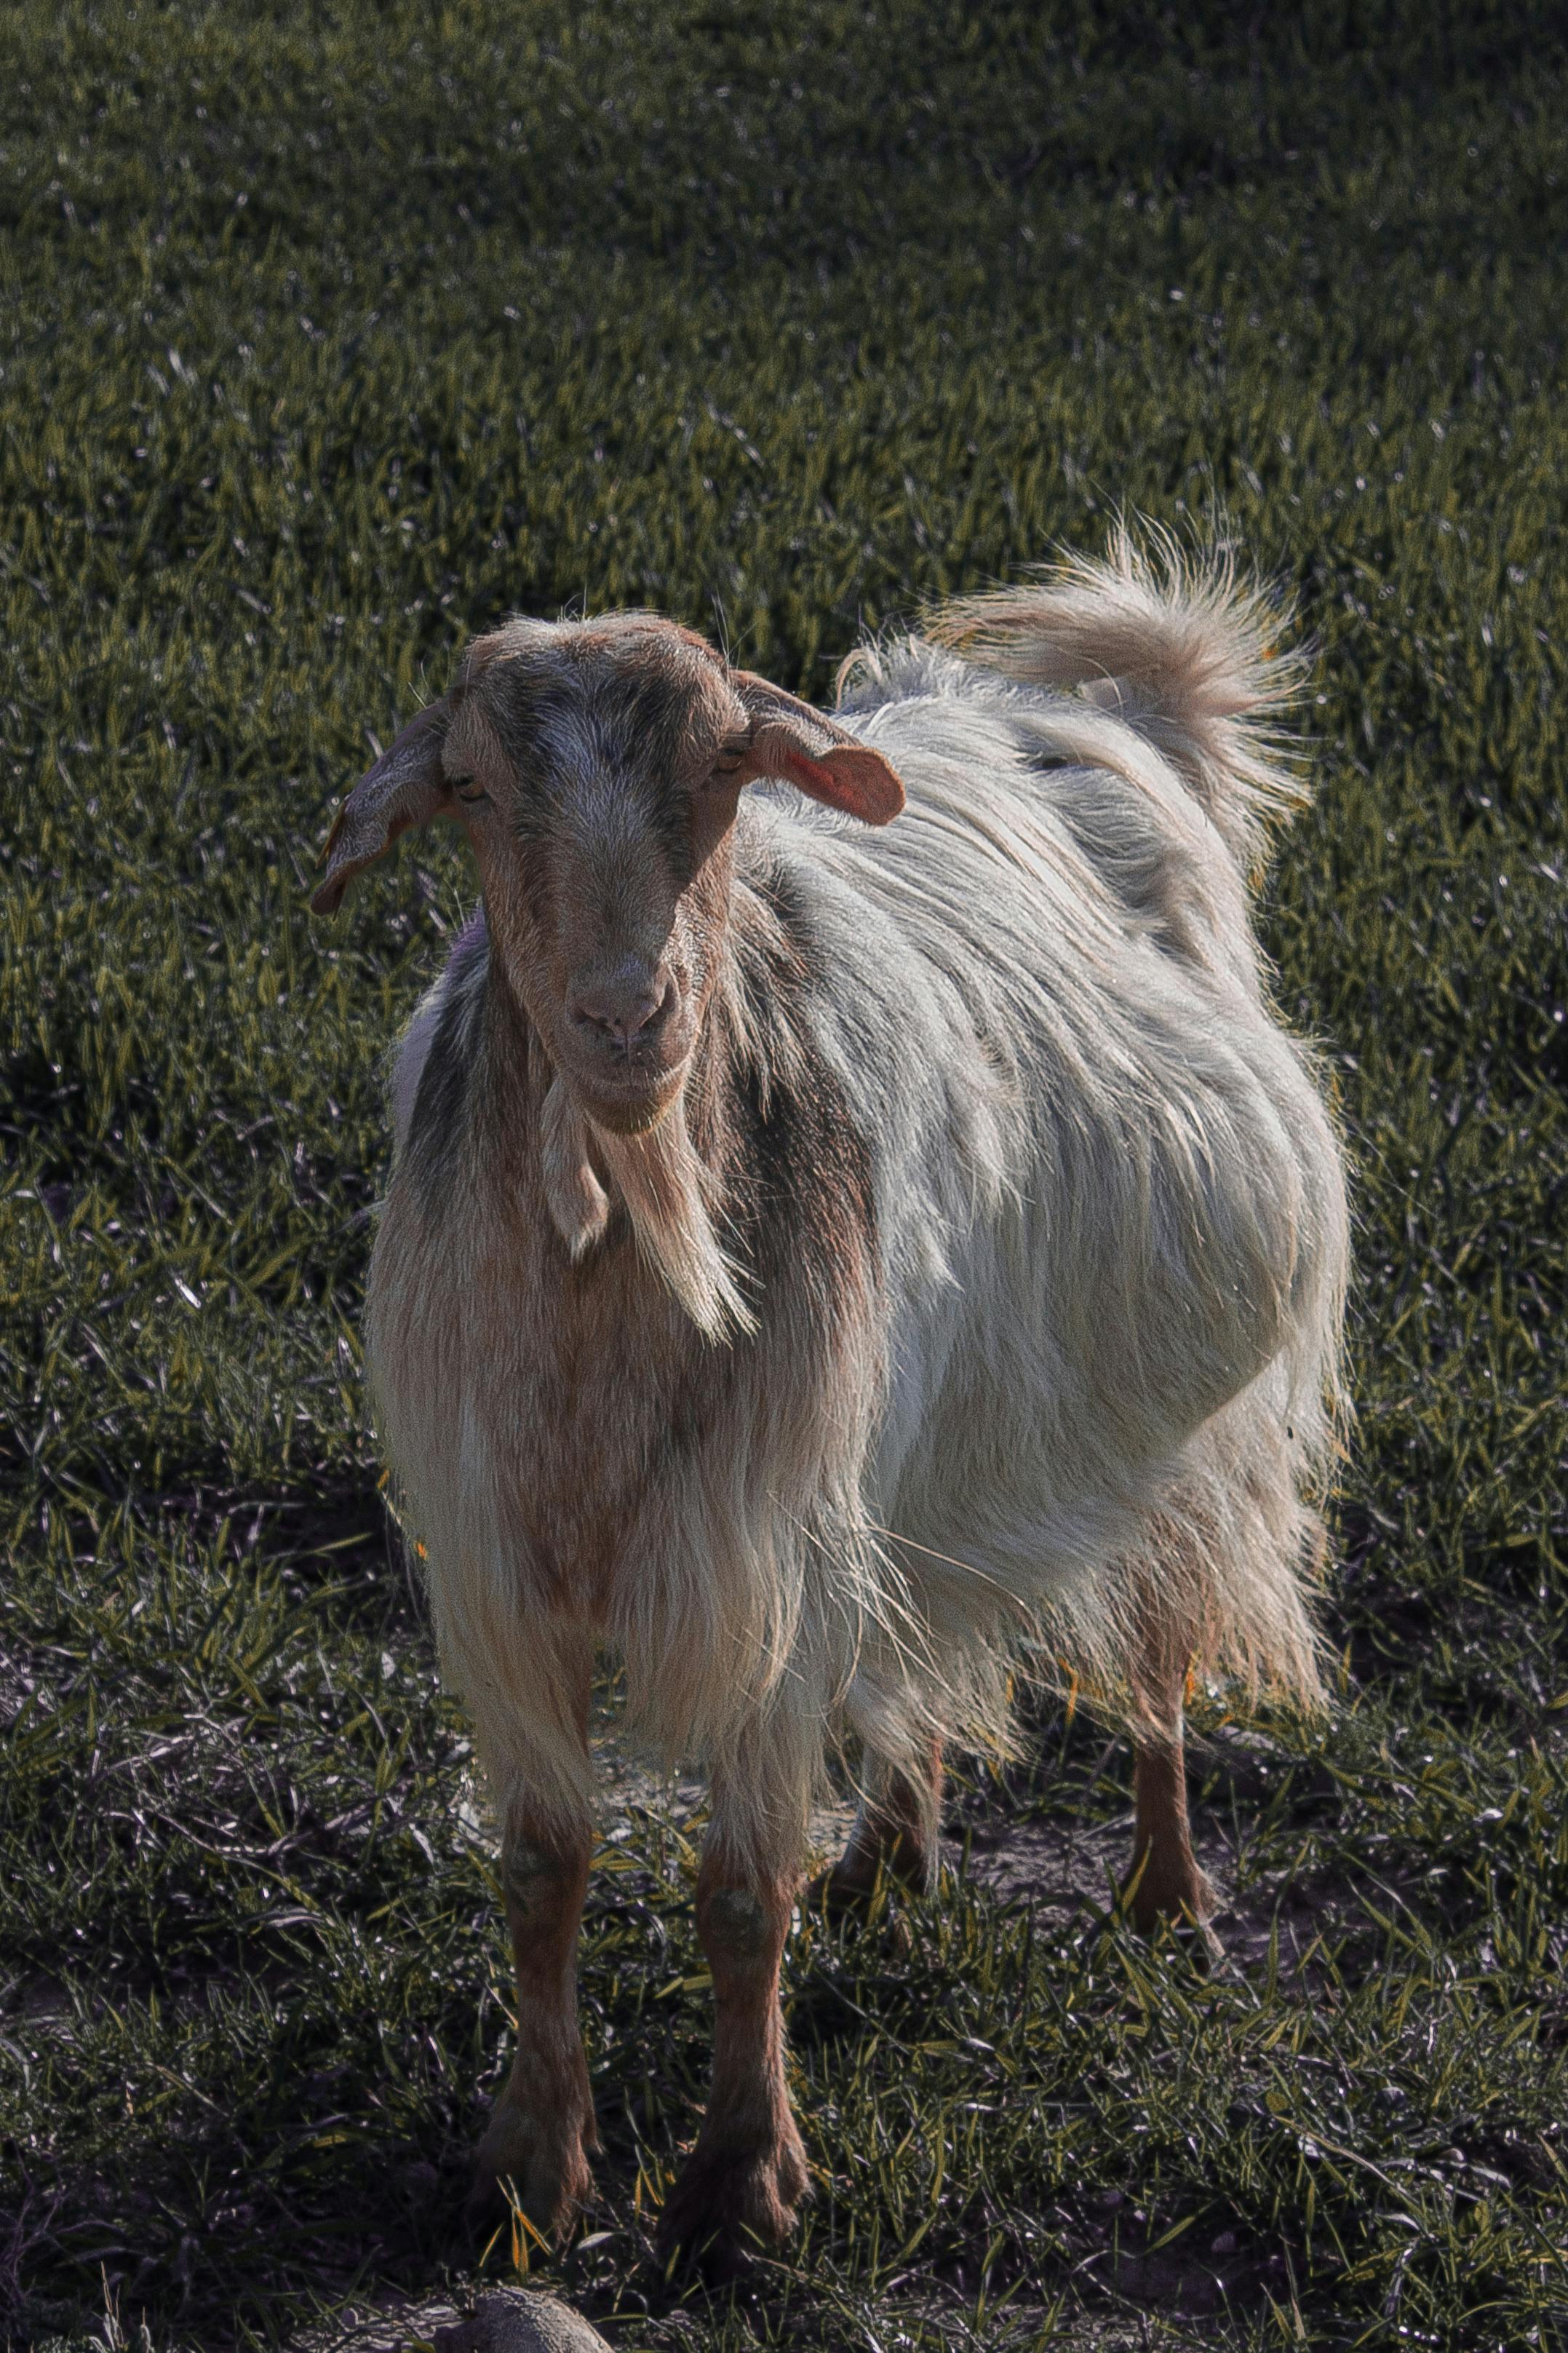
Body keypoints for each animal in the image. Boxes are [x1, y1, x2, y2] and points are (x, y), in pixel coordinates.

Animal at [312, 531, 1349, 2275]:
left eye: (728, 769)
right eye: (472, 787)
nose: (629, 1014)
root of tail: (1113, 710)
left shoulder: (762, 1554)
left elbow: (741, 1895)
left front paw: (741, 2184)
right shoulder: (506, 1565)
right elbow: (541, 1870)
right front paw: (528, 2167)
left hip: (1169, 1428)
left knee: (1157, 1647)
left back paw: (1165, 1897)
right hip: (910, 1443)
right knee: (913, 1628)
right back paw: (892, 1848)